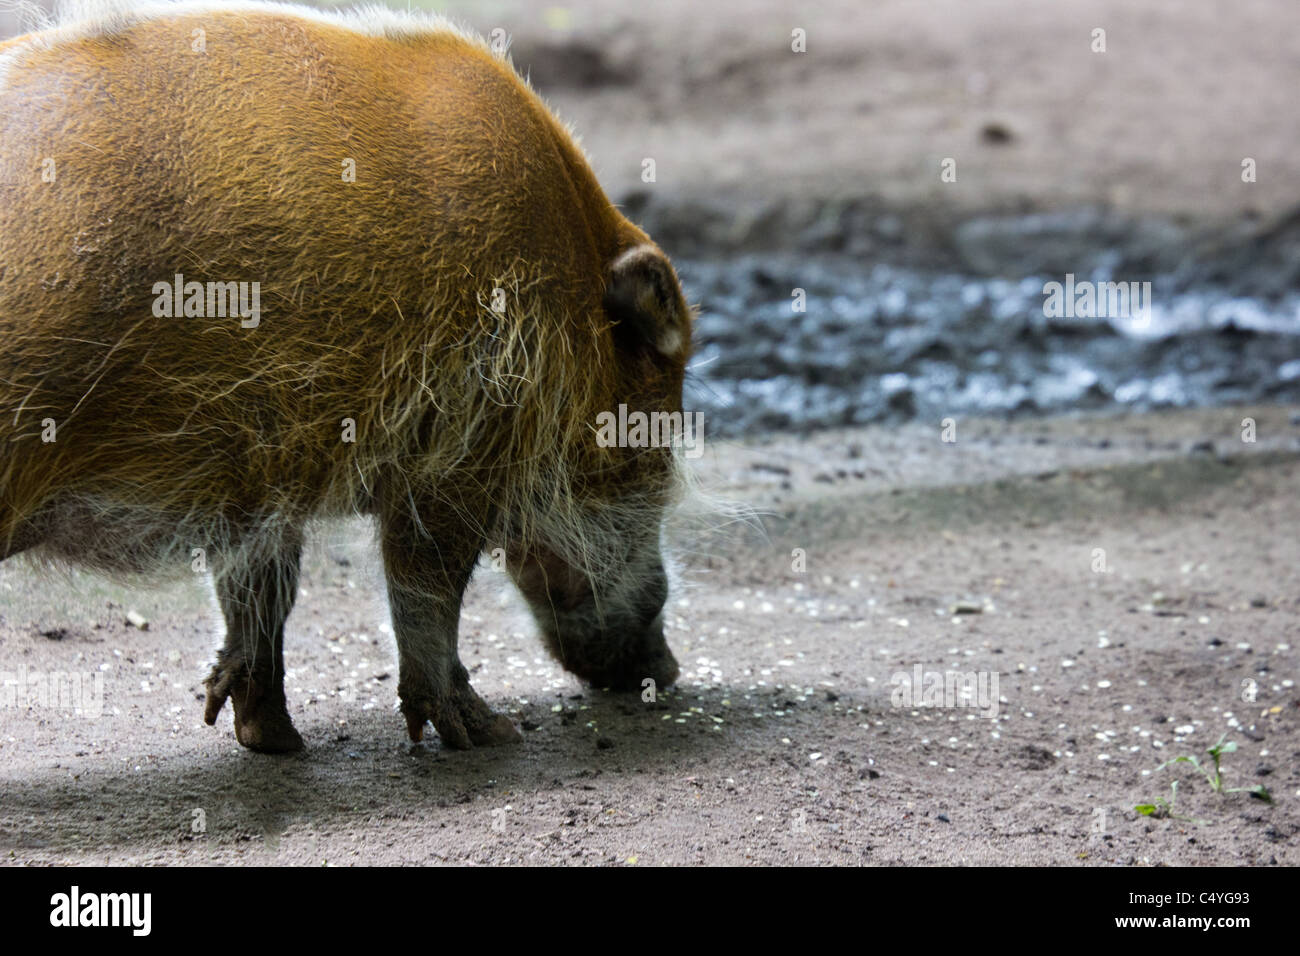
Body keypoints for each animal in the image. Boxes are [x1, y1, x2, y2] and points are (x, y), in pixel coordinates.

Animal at [0, 1, 692, 752]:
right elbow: (428, 587)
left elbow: (262, 592)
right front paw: (492, 735)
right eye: (649, 420)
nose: (669, 669)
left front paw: (275, 743)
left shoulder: (255, 480)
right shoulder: (457, 448)